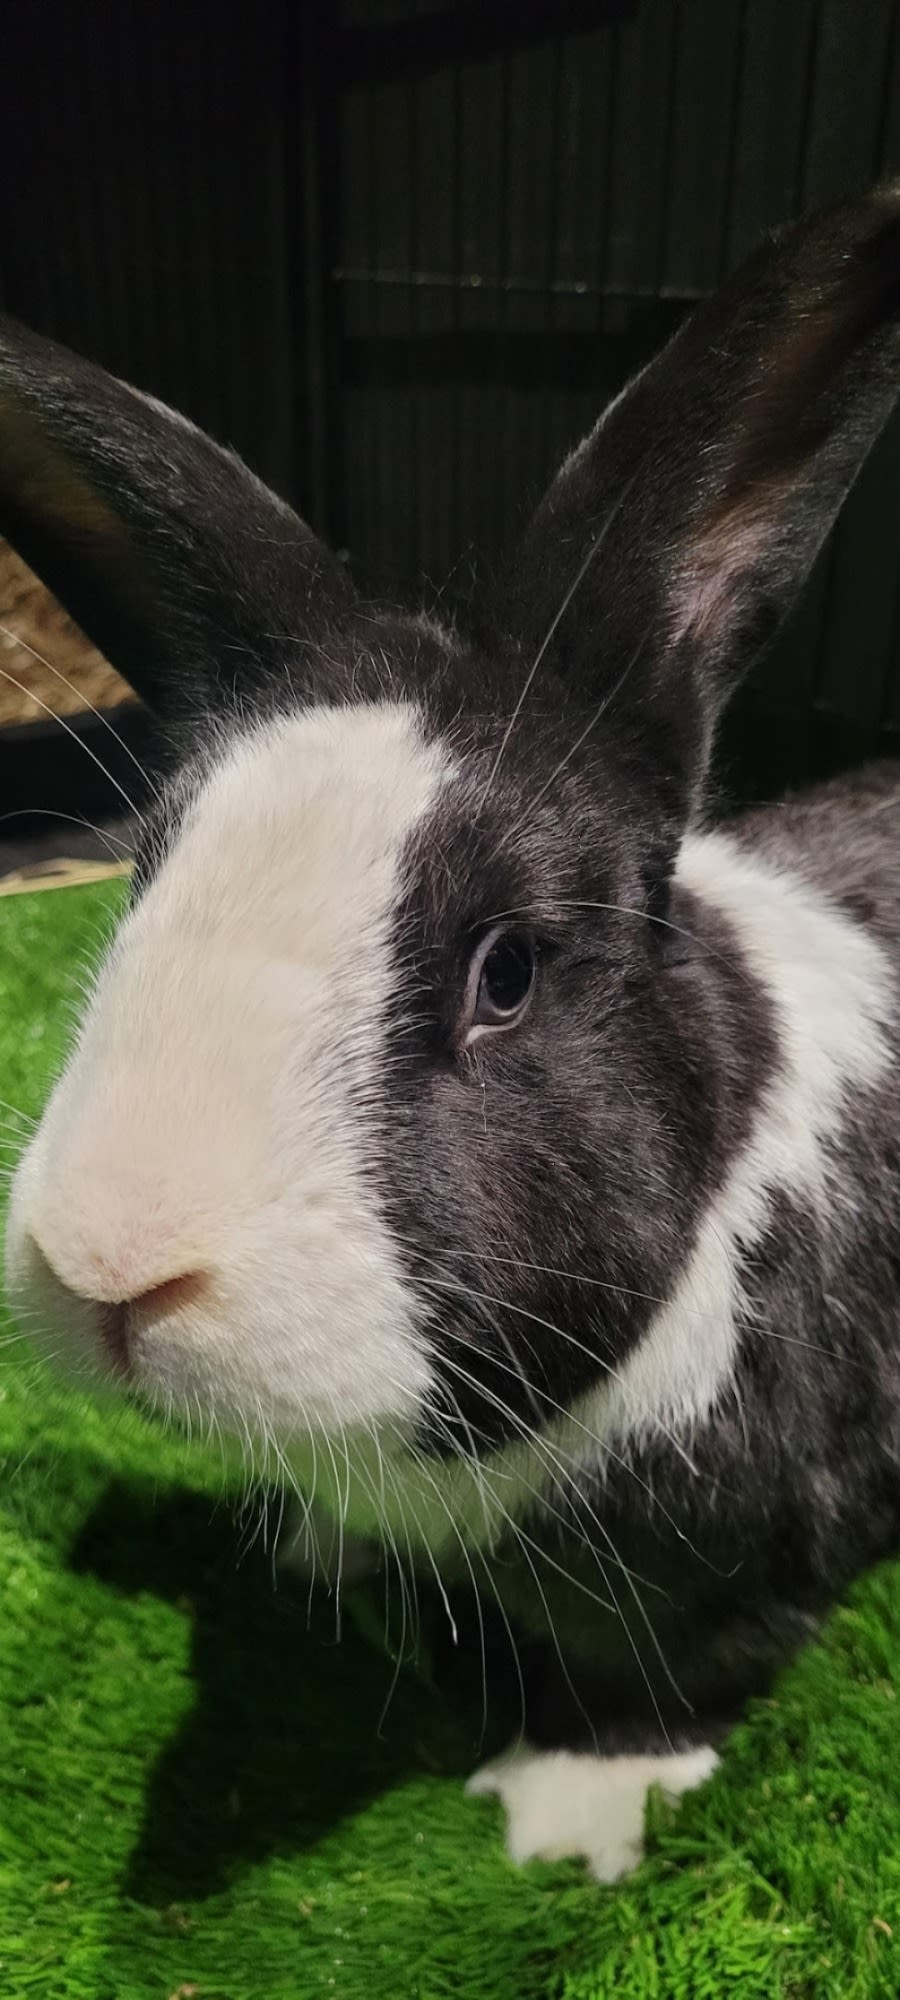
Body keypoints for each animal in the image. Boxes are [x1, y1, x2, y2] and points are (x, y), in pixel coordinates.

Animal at [5, 184, 900, 1883]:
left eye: (508, 972)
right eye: (148, 870)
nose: (106, 1266)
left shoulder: (742, 1564)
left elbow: (668, 1673)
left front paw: (567, 1823)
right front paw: (326, 1557)